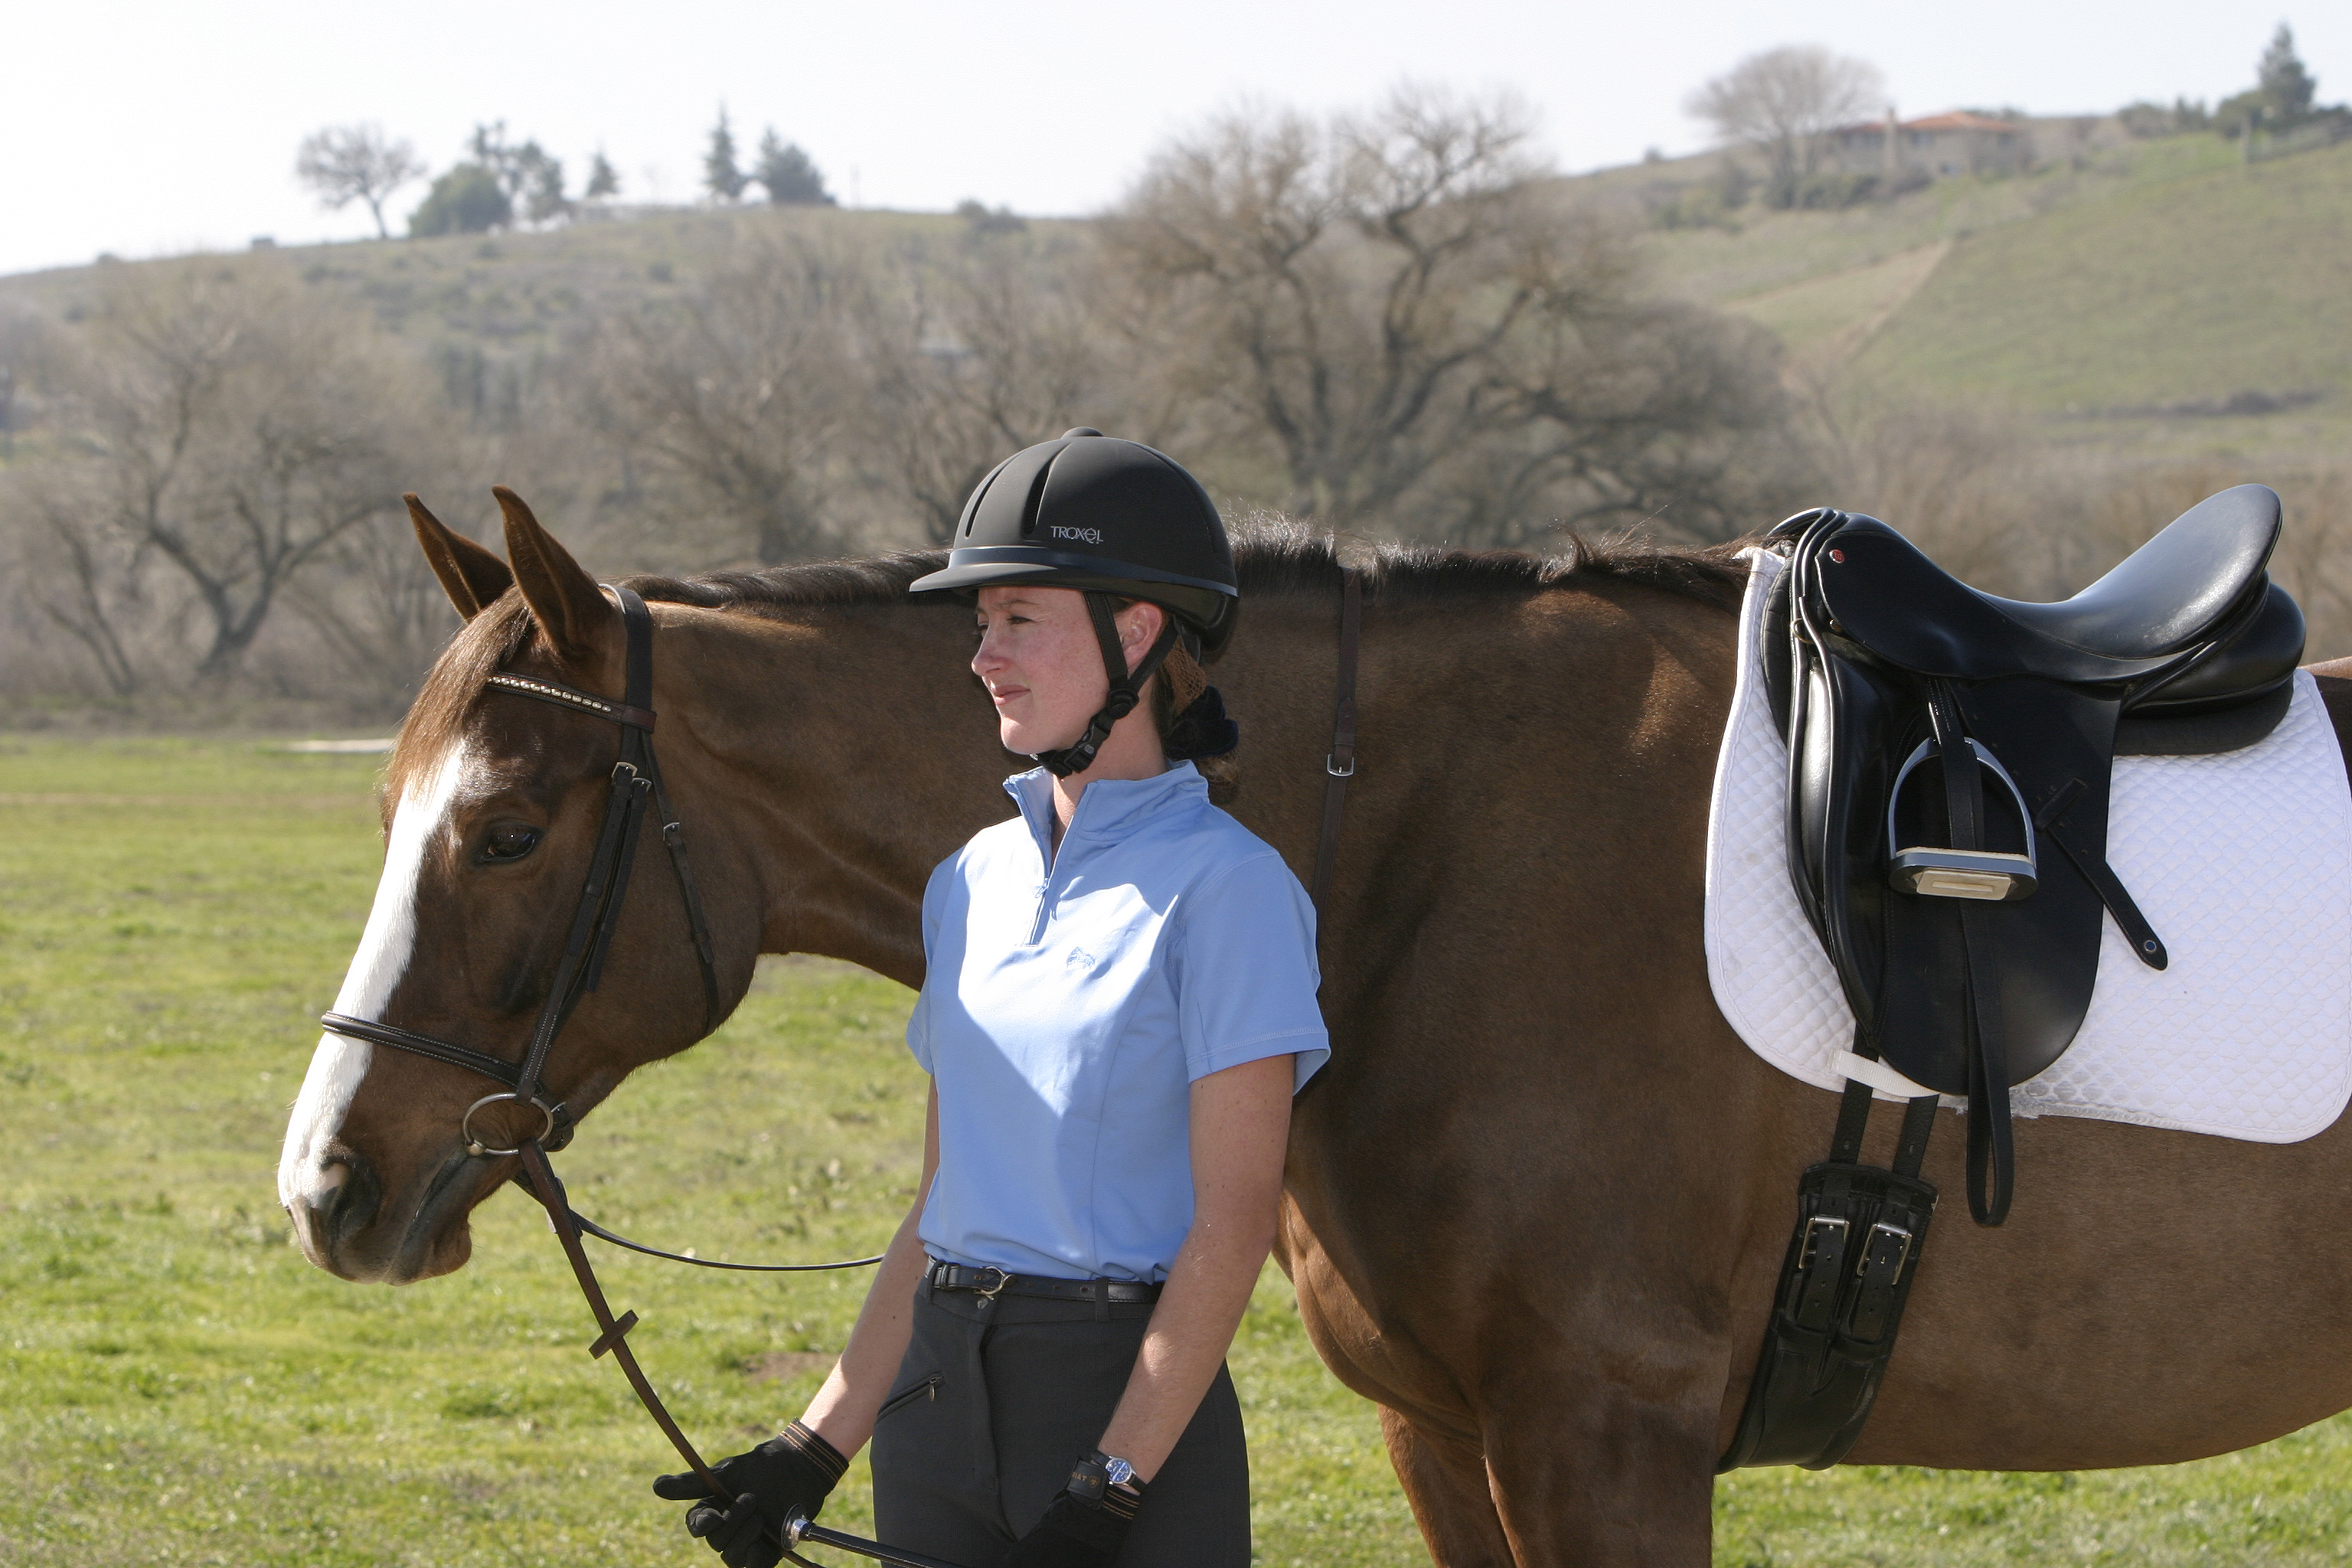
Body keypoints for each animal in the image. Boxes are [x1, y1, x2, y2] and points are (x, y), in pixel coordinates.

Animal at [279, 487, 2352, 1566]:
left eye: (507, 827)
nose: (328, 1182)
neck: (1408, 853)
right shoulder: (1453, 1440)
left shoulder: (1607, 1439)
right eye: (381, 804)